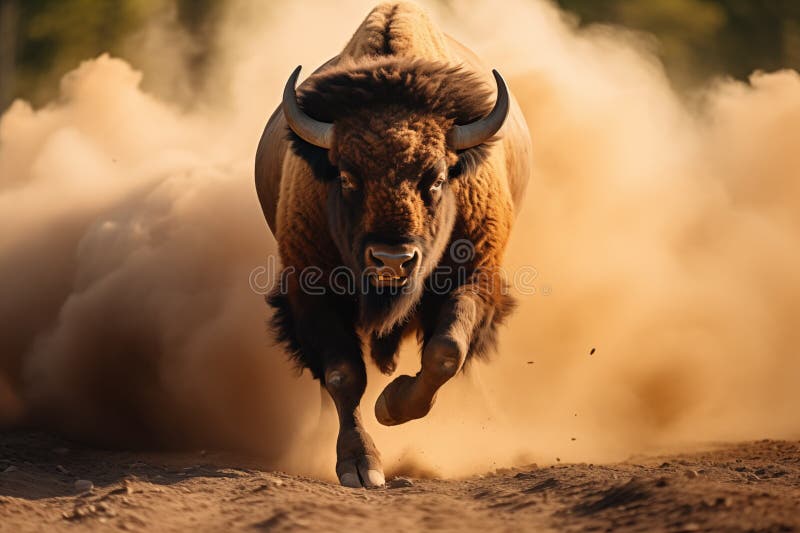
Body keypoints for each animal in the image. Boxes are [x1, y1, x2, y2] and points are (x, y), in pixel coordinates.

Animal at [255, 1, 532, 487]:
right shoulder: (311, 291)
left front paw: (392, 405)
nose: (392, 261)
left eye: (436, 178)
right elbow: (343, 375)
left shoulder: (475, 278)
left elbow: (446, 351)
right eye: (347, 176)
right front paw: (360, 465)